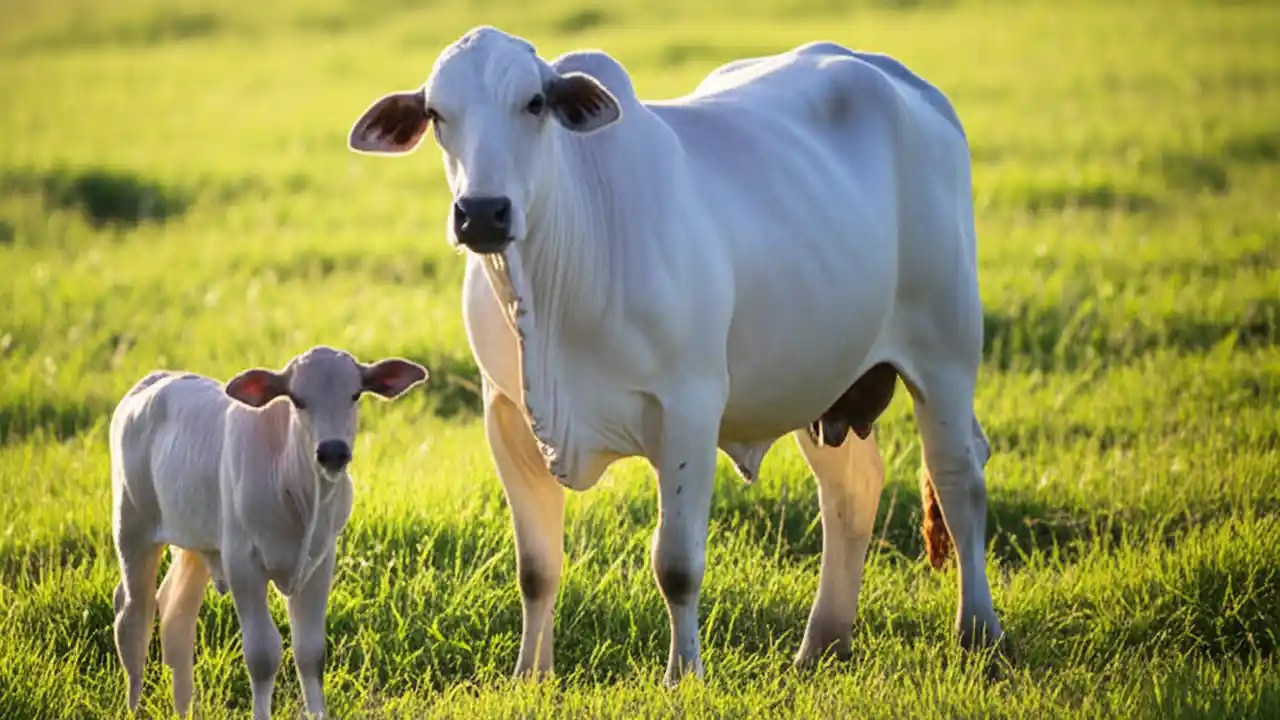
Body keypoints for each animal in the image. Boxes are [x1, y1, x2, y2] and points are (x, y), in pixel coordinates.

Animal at [109, 347, 427, 717]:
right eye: (298, 400)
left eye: (355, 394)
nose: (333, 451)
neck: (301, 494)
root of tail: (152, 381)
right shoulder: (242, 562)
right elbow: (262, 654)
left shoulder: (320, 561)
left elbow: (310, 651)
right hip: (132, 527)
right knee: (133, 614)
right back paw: (133, 706)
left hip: (196, 545)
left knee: (176, 613)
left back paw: (185, 709)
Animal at [349, 26, 1002, 684]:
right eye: (437, 114)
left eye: (534, 103)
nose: (482, 212)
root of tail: (899, 78)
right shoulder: (504, 412)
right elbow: (536, 567)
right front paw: (530, 677)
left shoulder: (689, 407)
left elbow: (677, 565)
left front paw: (683, 676)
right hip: (823, 375)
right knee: (853, 489)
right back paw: (822, 644)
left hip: (945, 353)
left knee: (959, 480)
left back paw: (979, 635)